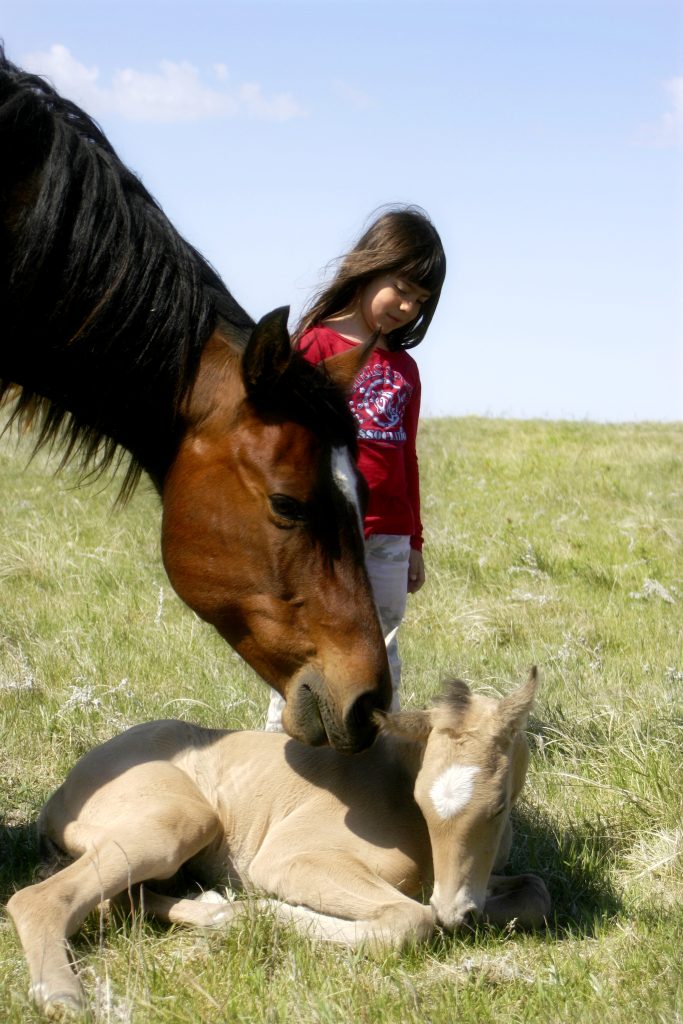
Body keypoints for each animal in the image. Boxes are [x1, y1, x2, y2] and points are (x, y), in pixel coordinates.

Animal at [7, 669, 550, 1017]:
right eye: (419, 797)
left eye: (499, 804)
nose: (457, 913)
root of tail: (61, 793)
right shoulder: (288, 859)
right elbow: (408, 920)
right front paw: (258, 913)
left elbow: (536, 892)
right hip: (177, 823)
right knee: (39, 898)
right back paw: (62, 994)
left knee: (123, 900)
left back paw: (212, 906)